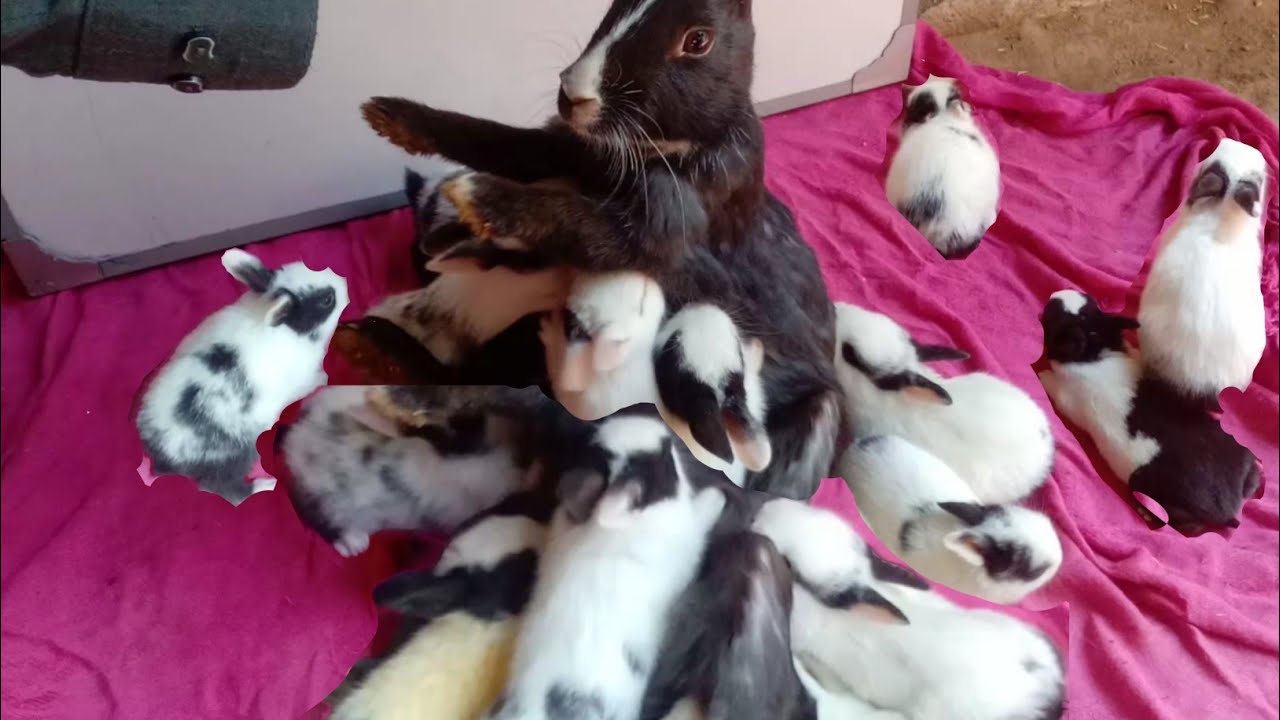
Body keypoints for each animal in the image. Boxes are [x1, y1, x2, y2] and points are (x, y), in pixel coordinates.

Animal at [134, 248, 348, 505]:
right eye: (327, 300)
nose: (344, 282)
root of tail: (161, 454)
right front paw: (324, 379)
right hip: (236, 456)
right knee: (225, 491)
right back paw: (266, 484)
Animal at [281, 384, 573, 556]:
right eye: (463, 434)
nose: (533, 457)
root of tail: (296, 439)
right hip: (324, 497)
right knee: (311, 515)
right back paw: (353, 543)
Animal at [355, 0, 846, 500]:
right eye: (615, 8)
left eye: (698, 40)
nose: (572, 94)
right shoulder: (563, 151)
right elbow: (496, 139)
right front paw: (390, 116)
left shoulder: (652, 232)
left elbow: (573, 218)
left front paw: (476, 197)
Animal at [1039, 289, 1261, 534]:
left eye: (1052, 317)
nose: (1055, 293)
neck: (1095, 351)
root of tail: (1230, 507)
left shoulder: (1067, 398)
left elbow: (1052, 386)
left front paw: (1040, 374)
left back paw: (1146, 512)